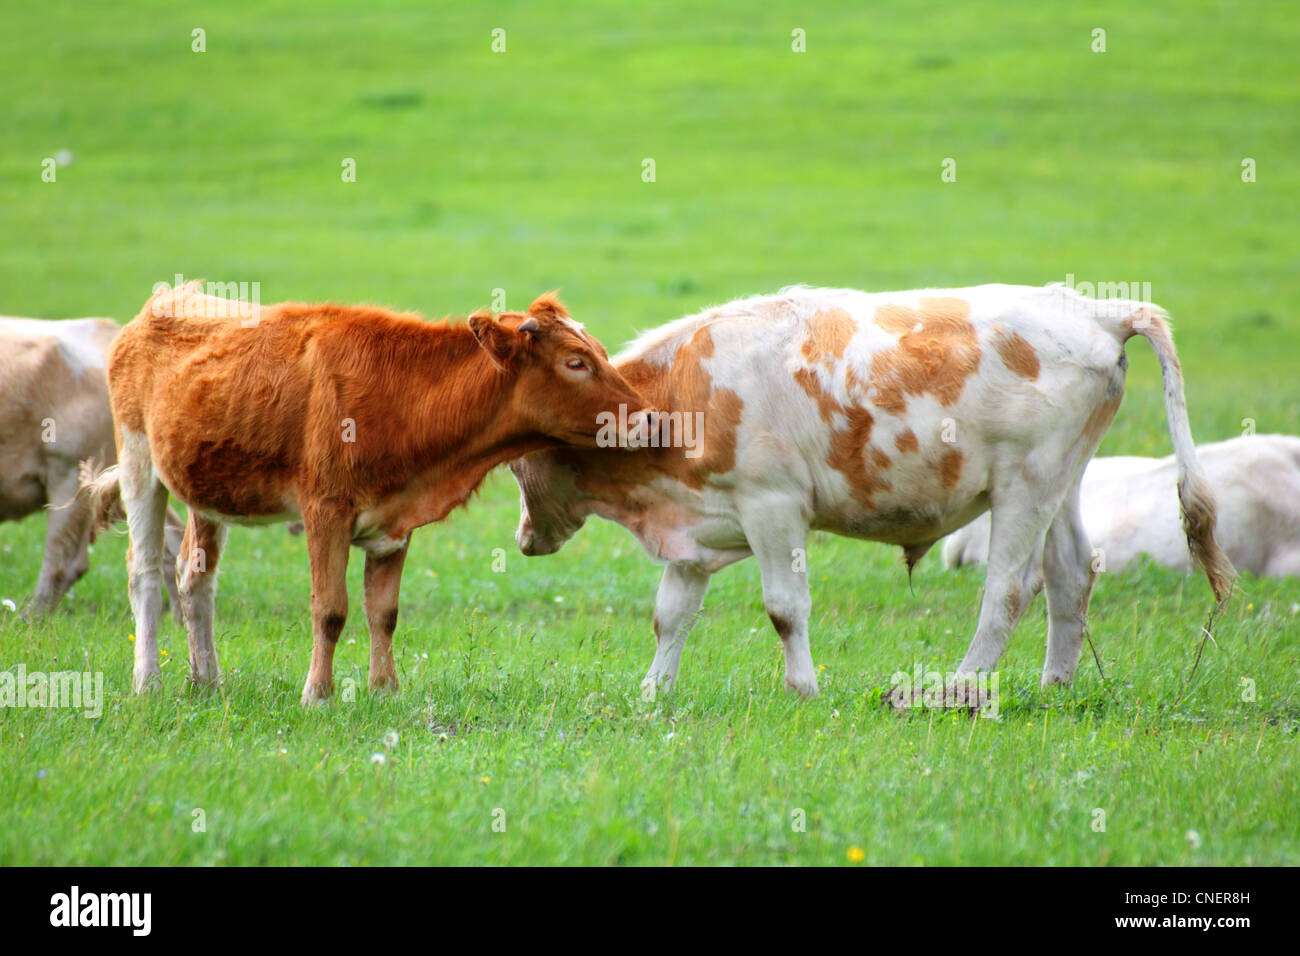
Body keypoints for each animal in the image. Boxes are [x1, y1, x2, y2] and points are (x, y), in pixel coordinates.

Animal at [83, 282, 649, 703]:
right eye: (576, 362)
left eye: (600, 353)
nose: (648, 417)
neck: (401, 399)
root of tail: (161, 303)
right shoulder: (324, 510)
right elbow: (330, 609)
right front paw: (318, 694)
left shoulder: (395, 523)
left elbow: (384, 612)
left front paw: (384, 690)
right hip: (139, 462)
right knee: (145, 573)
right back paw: (148, 682)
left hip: (208, 490)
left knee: (195, 579)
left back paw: (207, 680)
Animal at [509, 285, 1235, 698]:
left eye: (516, 466)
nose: (521, 539)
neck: (682, 393)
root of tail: (1097, 310)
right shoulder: (696, 529)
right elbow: (672, 614)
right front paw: (654, 692)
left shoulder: (772, 507)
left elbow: (785, 608)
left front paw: (802, 689)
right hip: (1062, 479)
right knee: (1070, 575)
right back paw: (1054, 685)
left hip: (1026, 484)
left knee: (1009, 590)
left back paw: (956, 689)